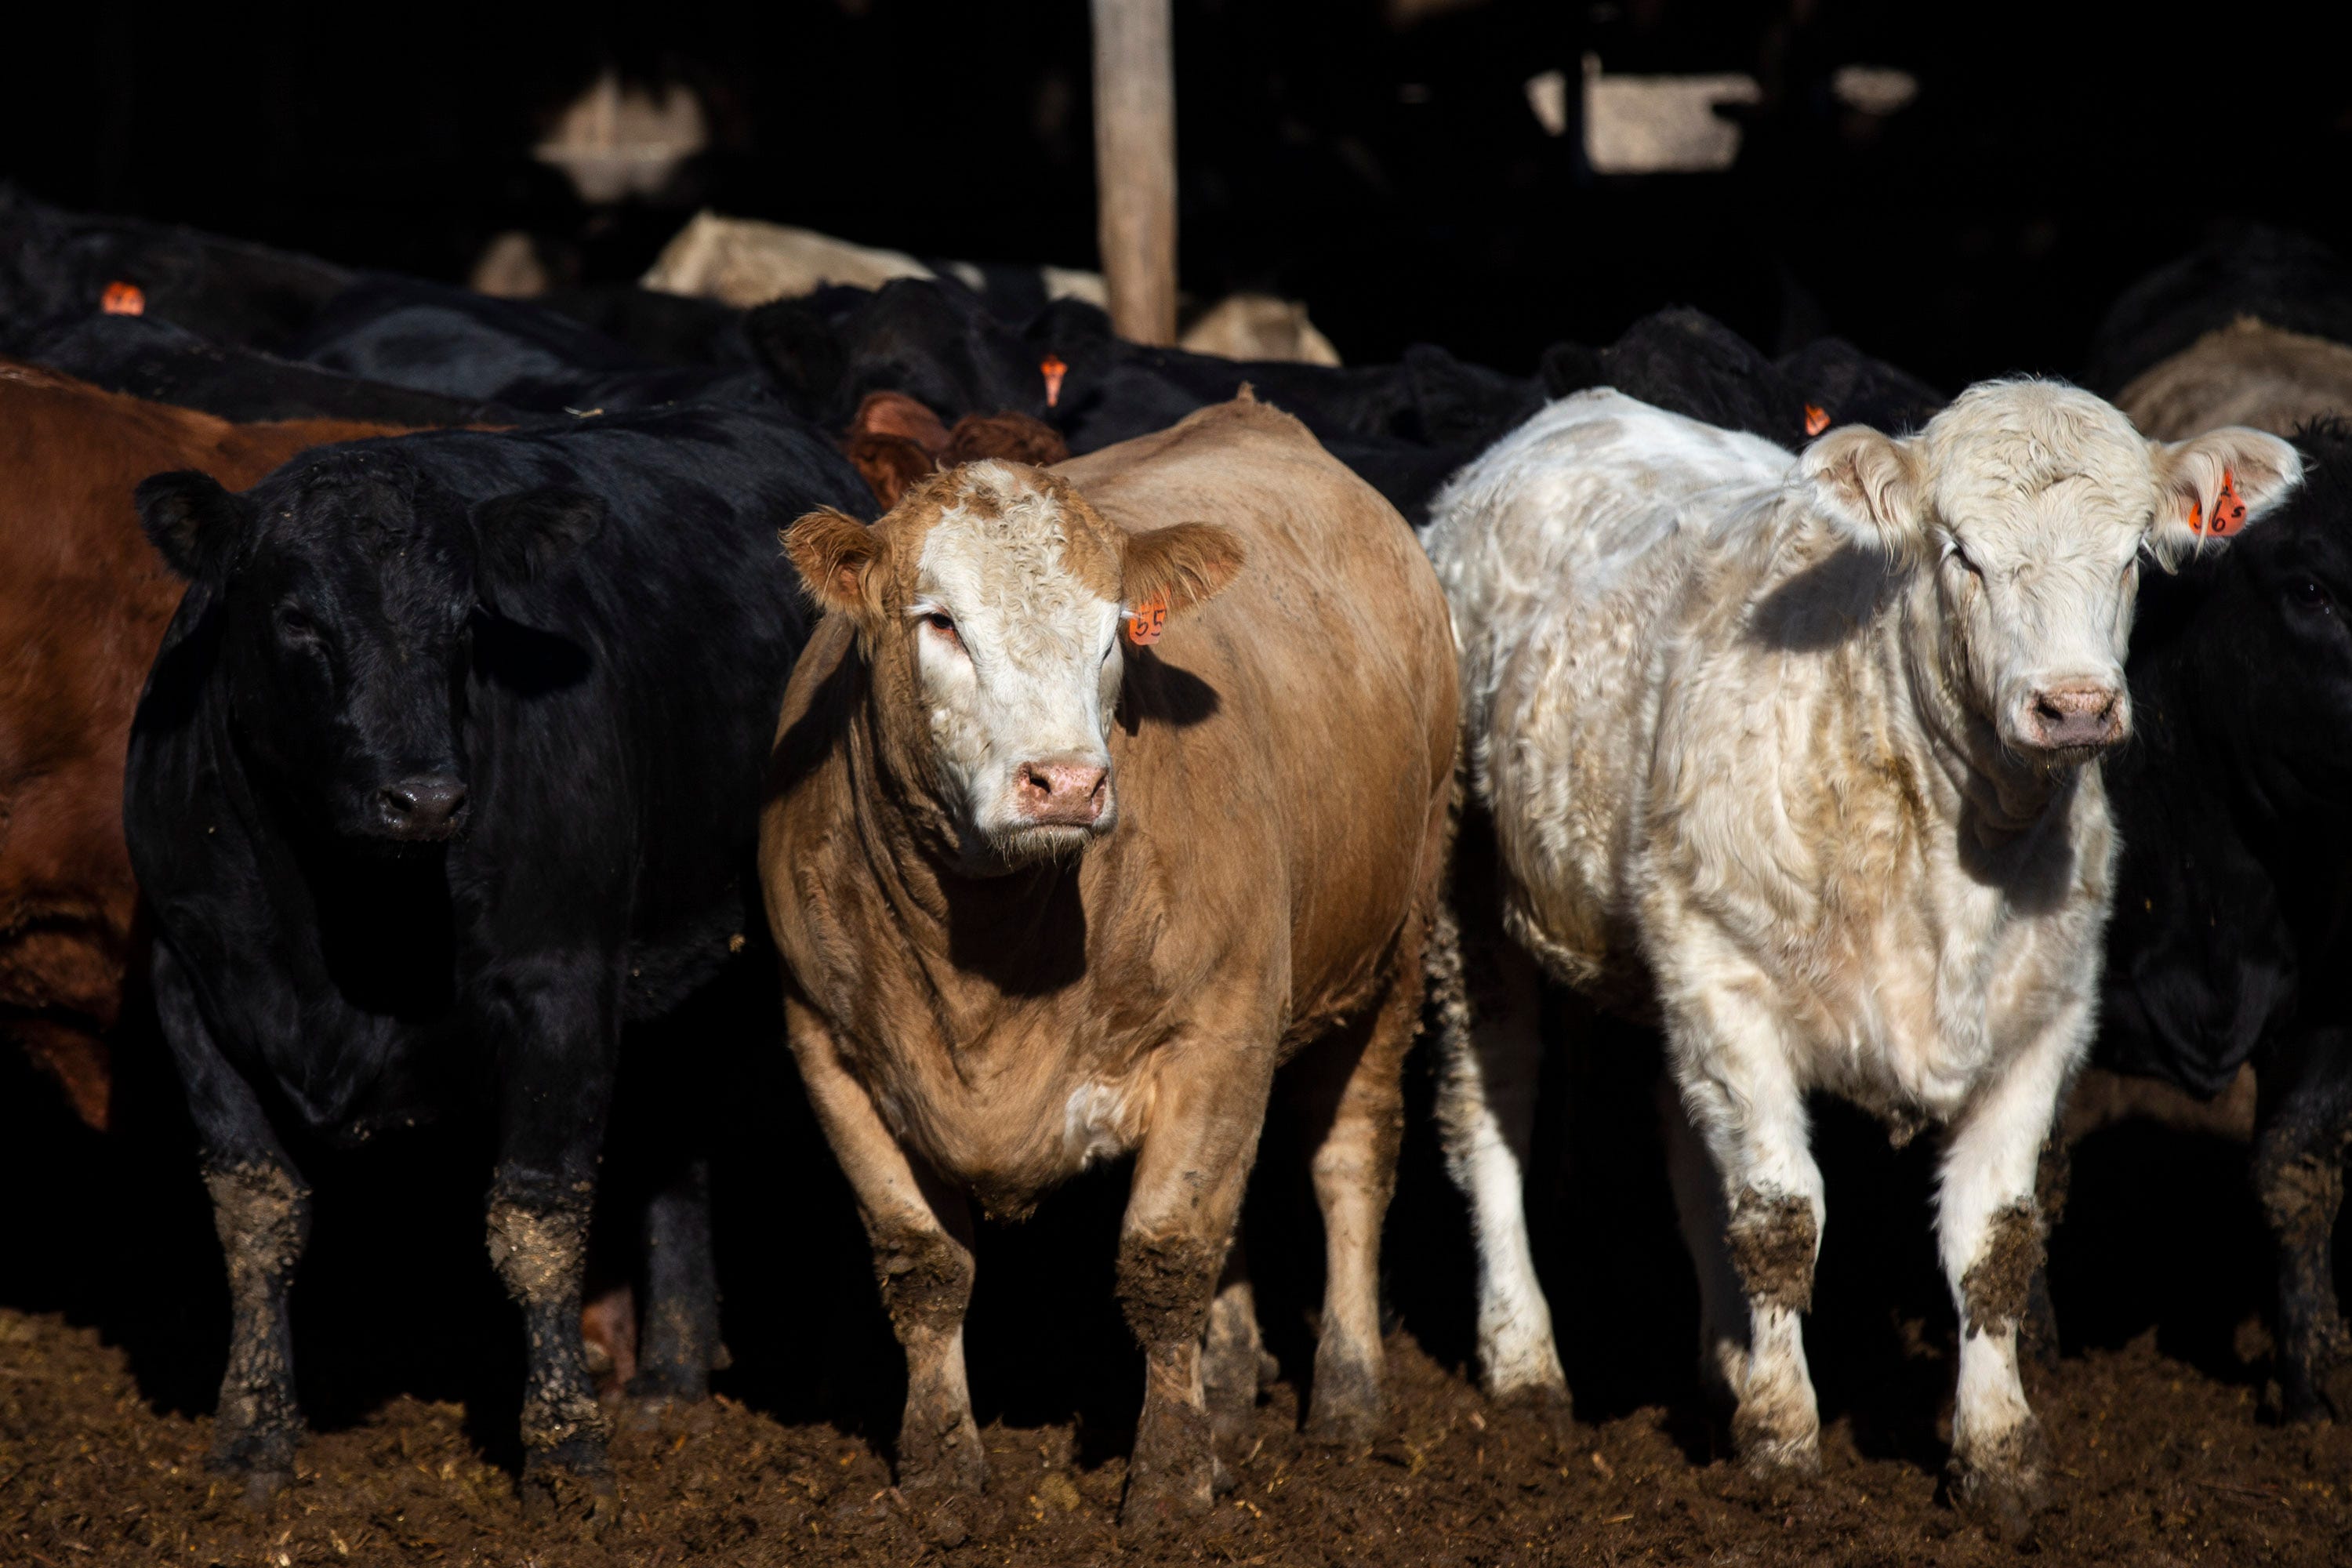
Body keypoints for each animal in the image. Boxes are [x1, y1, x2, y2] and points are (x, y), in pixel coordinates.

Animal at [122, 404, 872, 1508]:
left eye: (466, 623)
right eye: (298, 619)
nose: (426, 796)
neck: (342, 925)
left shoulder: (563, 980)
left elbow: (535, 1224)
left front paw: (566, 1453)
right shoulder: (190, 981)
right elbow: (258, 1216)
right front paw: (251, 1440)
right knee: (679, 1141)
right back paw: (670, 1376)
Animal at [758, 396, 1457, 1534]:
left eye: (1113, 632)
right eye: (939, 621)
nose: (1066, 782)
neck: (989, 960)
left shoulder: (1219, 1026)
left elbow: (1167, 1258)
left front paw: (1169, 1482)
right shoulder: (826, 1041)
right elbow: (924, 1266)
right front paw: (941, 1471)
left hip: (1398, 936)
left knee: (1349, 1155)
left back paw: (1347, 1399)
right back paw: (1229, 1393)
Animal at [1422, 383, 2299, 1537]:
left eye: (2129, 558)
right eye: (1963, 552)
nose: (2072, 706)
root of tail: (1568, 415)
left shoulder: (2047, 1019)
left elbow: (1992, 1242)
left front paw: (1999, 1457)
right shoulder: (1728, 980)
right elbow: (1780, 1218)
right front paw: (1783, 1440)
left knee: (1686, 1147)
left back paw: (1722, 1364)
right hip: (1470, 902)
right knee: (1495, 1108)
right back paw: (1524, 1358)